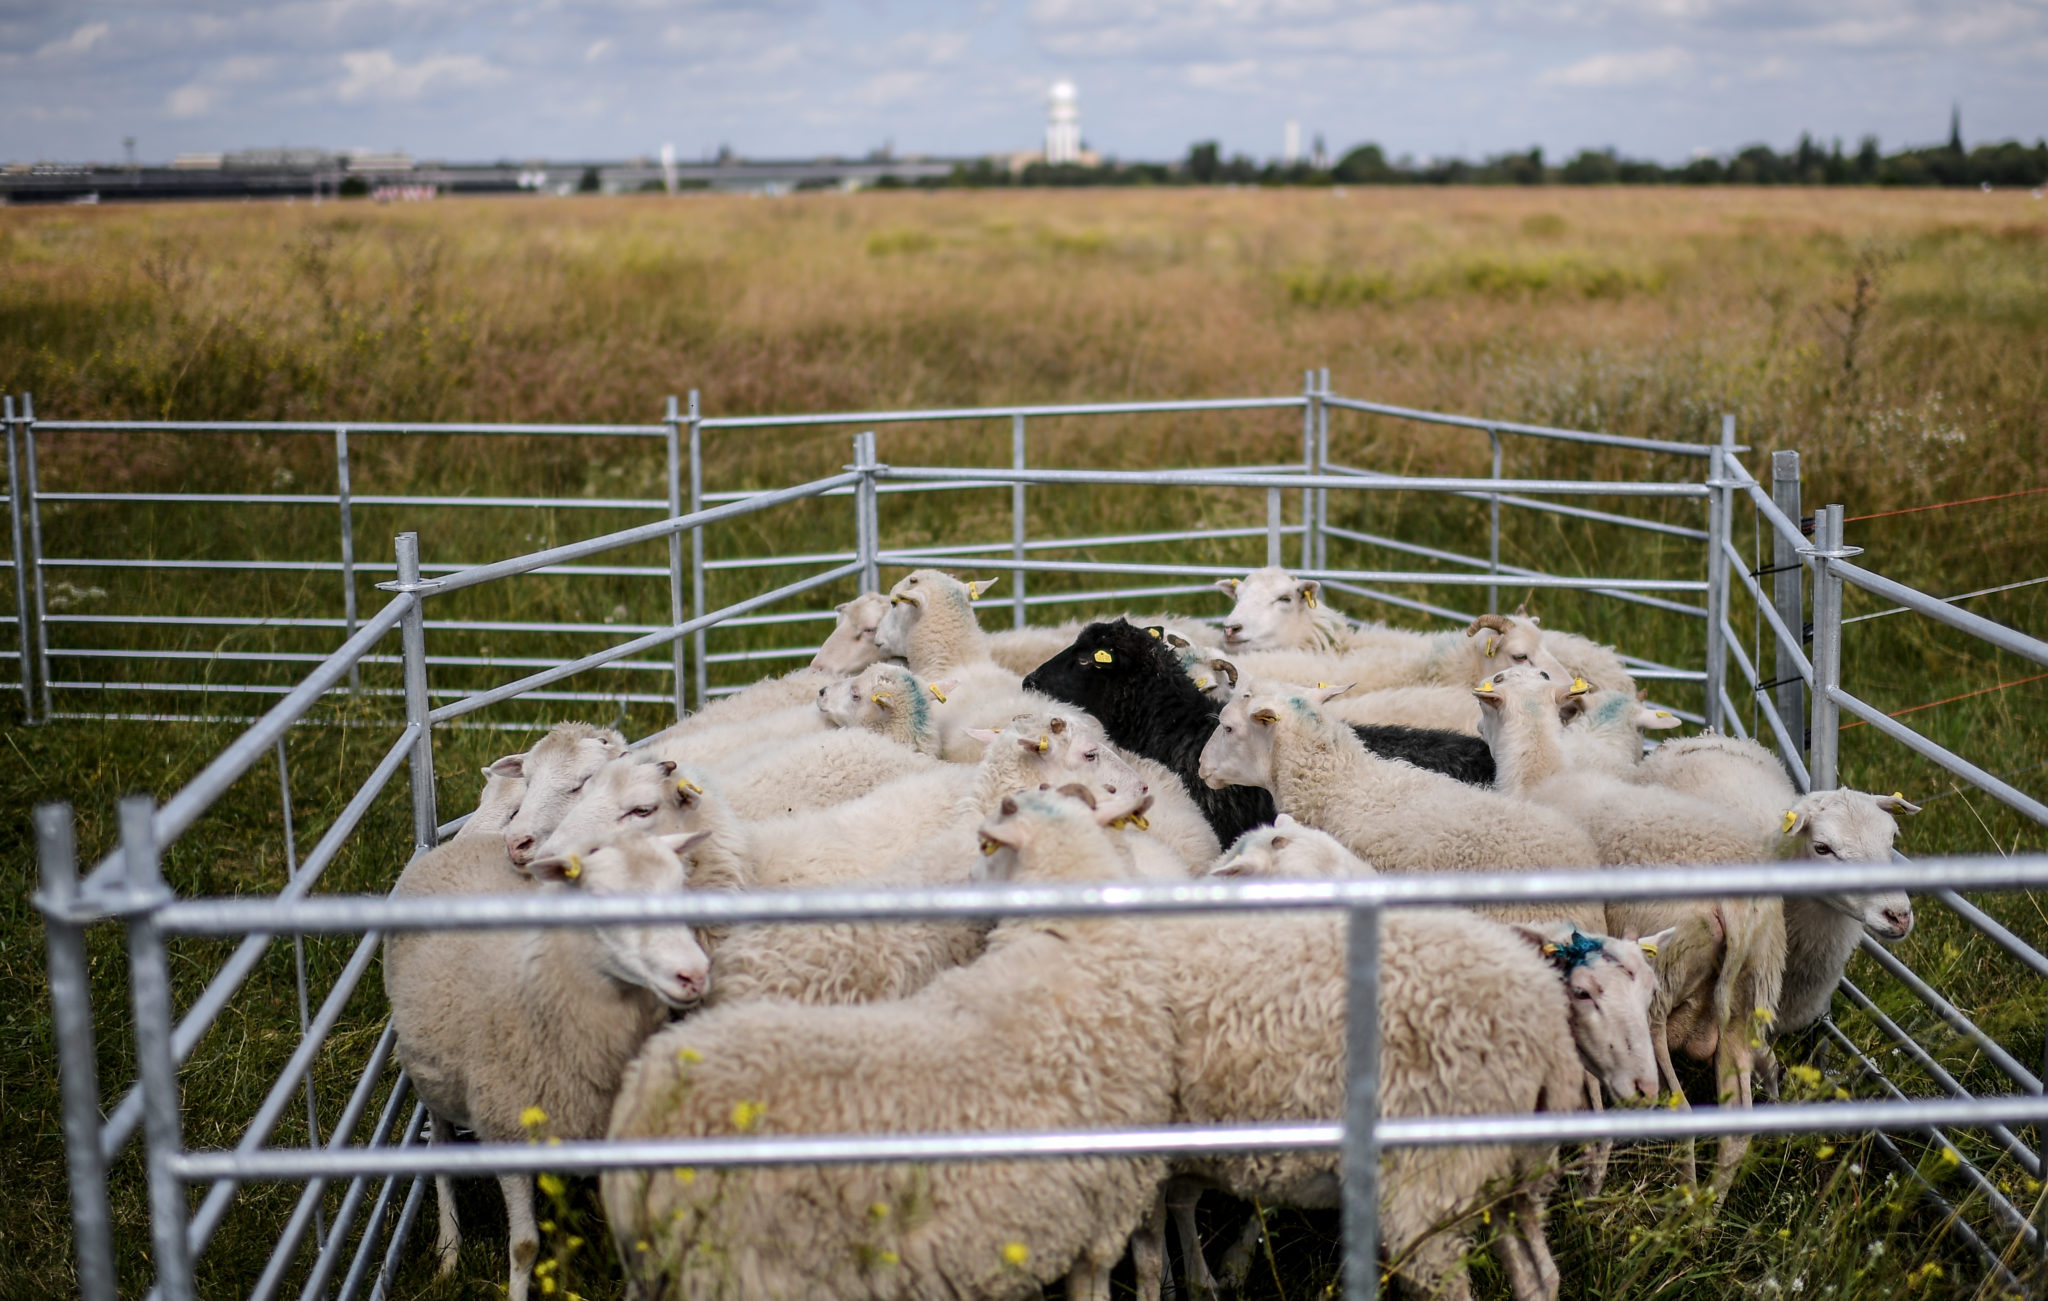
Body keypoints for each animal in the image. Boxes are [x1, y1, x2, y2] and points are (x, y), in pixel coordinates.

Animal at [386, 830, 711, 1301]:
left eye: (681, 888)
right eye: (603, 899)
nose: (695, 975)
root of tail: (461, 841)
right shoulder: (506, 1133)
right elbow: (524, 1247)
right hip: (430, 1077)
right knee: (441, 1148)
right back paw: (448, 1249)